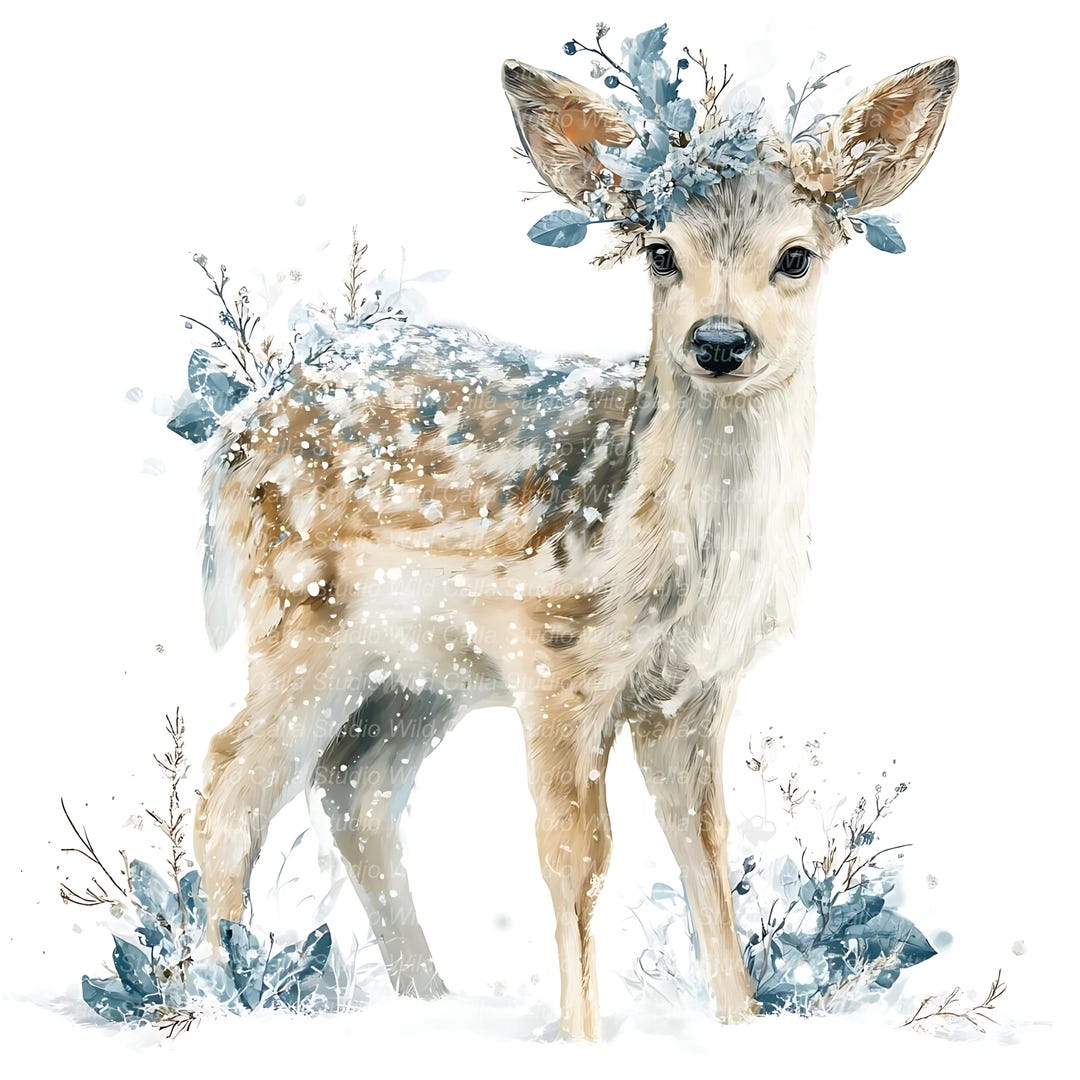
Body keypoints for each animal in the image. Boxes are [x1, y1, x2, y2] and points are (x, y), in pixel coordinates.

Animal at [192, 40, 957, 1040]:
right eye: (661, 253)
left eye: (796, 256)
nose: (719, 340)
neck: (682, 561)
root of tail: (240, 426)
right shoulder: (555, 658)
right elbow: (577, 856)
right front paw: (583, 1037)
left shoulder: (693, 689)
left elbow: (703, 848)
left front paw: (740, 1026)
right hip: (301, 621)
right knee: (232, 789)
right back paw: (222, 1000)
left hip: (417, 671)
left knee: (355, 790)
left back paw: (429, 1002)